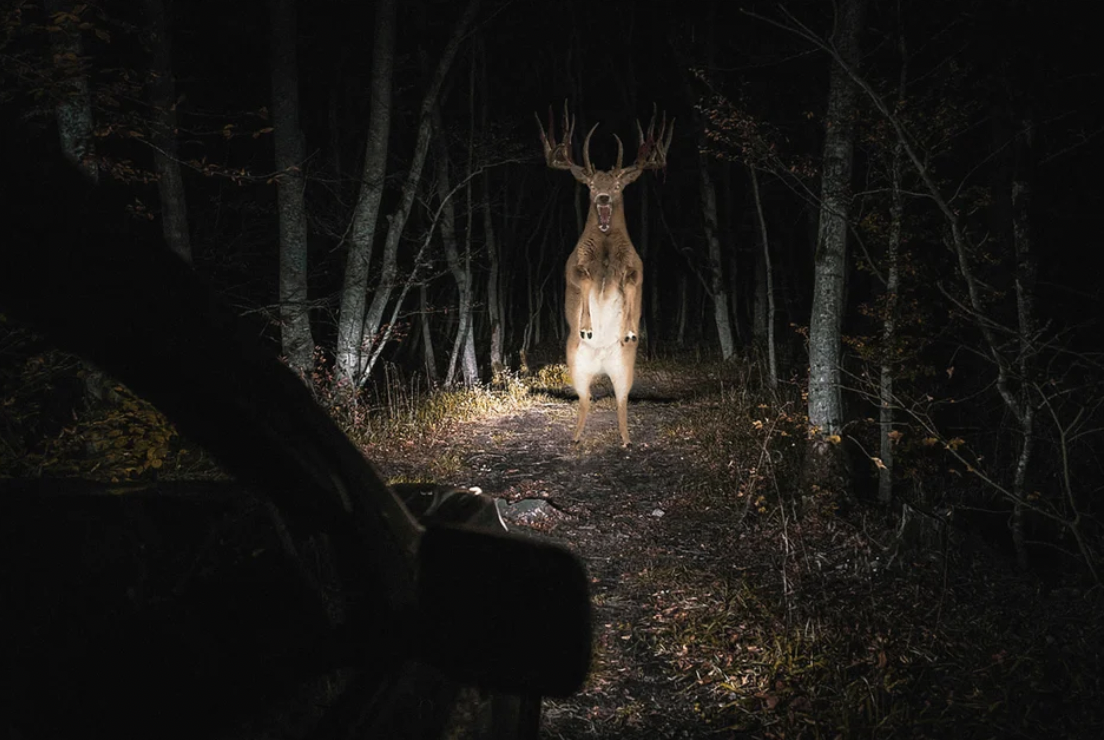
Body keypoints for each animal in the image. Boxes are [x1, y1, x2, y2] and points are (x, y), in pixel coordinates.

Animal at [536, 103, 673, 447]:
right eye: (590, 185)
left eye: (617, 186)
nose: (602, 198)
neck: (606, 256)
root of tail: (601, 366)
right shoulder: (572, 266)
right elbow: (584, 280)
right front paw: (587, 326)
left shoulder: (637, 266)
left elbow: (631, 284)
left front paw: (629, 329)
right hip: (574, 363)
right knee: (585, 399)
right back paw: (575, 437)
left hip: (625, 367)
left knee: (621, 400)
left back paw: (626, 439)